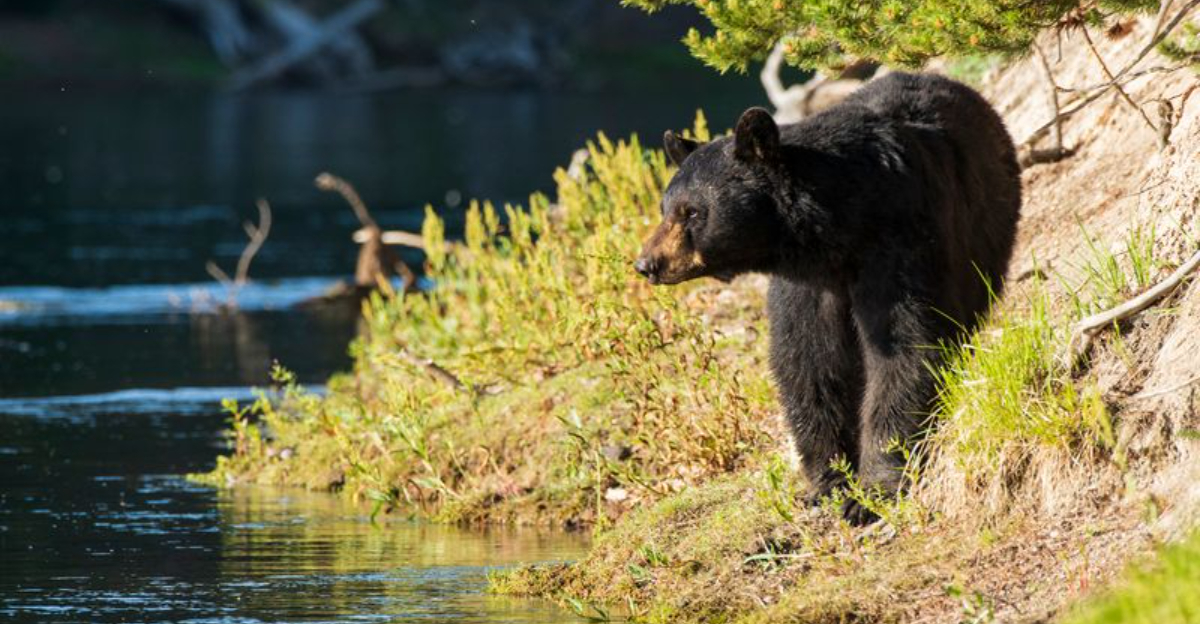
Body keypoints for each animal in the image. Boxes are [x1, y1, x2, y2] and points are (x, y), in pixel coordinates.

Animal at [634, 72, 1021, 524]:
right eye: (666, 208)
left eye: (692, 212)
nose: (647, 263)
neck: (839, 228)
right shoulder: (807, 285)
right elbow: (808, 361)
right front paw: (828, 480)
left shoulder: (902, 243)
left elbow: (906, 347)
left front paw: (873, 487)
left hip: (986, 234)